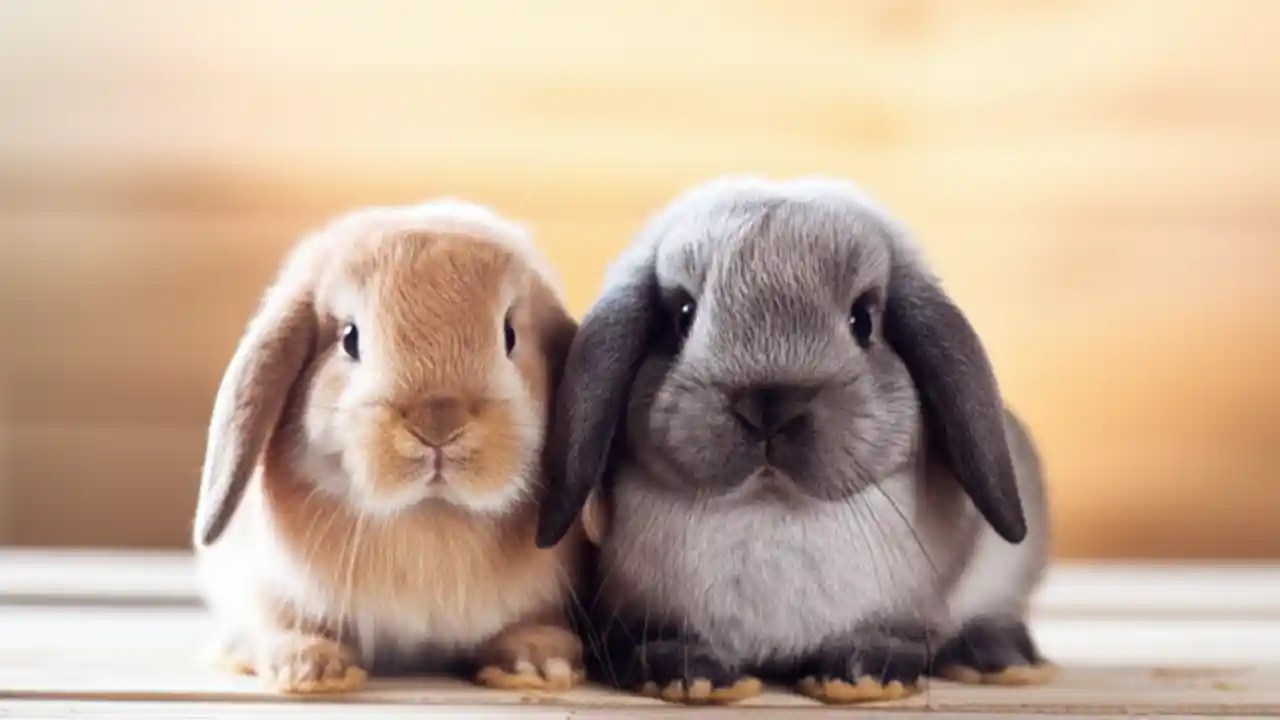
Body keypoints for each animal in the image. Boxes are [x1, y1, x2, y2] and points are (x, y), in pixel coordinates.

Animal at [193, 200, 585, 694]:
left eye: (510, 335)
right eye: (350, 338)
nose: (438, 423)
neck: (429, 515)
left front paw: (536, 664)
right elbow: (281, 624)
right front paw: (312, 668)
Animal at [536, 177, 1052, 705]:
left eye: (863, 320)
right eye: (682, 316)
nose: (770, 405)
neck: (771, 512)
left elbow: (893, 633)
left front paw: (867, 671)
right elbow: (660, 638)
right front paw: (689, 674)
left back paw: (996, 659)